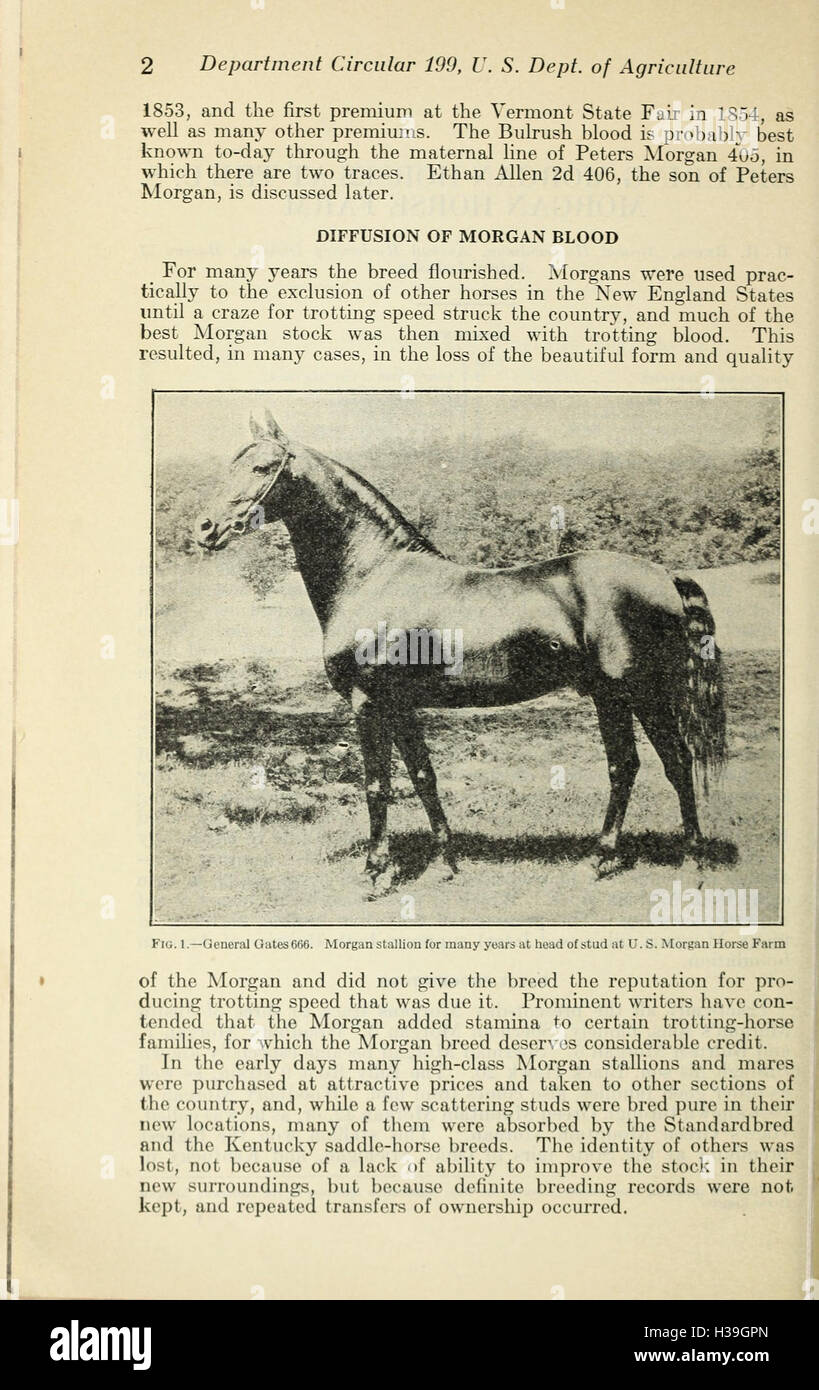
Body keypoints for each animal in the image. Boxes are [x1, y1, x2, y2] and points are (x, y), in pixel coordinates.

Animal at [195, 410, 726, 896]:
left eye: (263, 467)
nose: (204, 528)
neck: (374, 574)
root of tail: (664, 575)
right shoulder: (400, 705)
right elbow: (423, 777)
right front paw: (446, 863)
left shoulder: (368, 703)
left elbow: (376, 785)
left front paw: (376, 872)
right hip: (618, 695)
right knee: (647, 765)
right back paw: (629, 859)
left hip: (635, 691)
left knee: (660, 763)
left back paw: (669, 862)